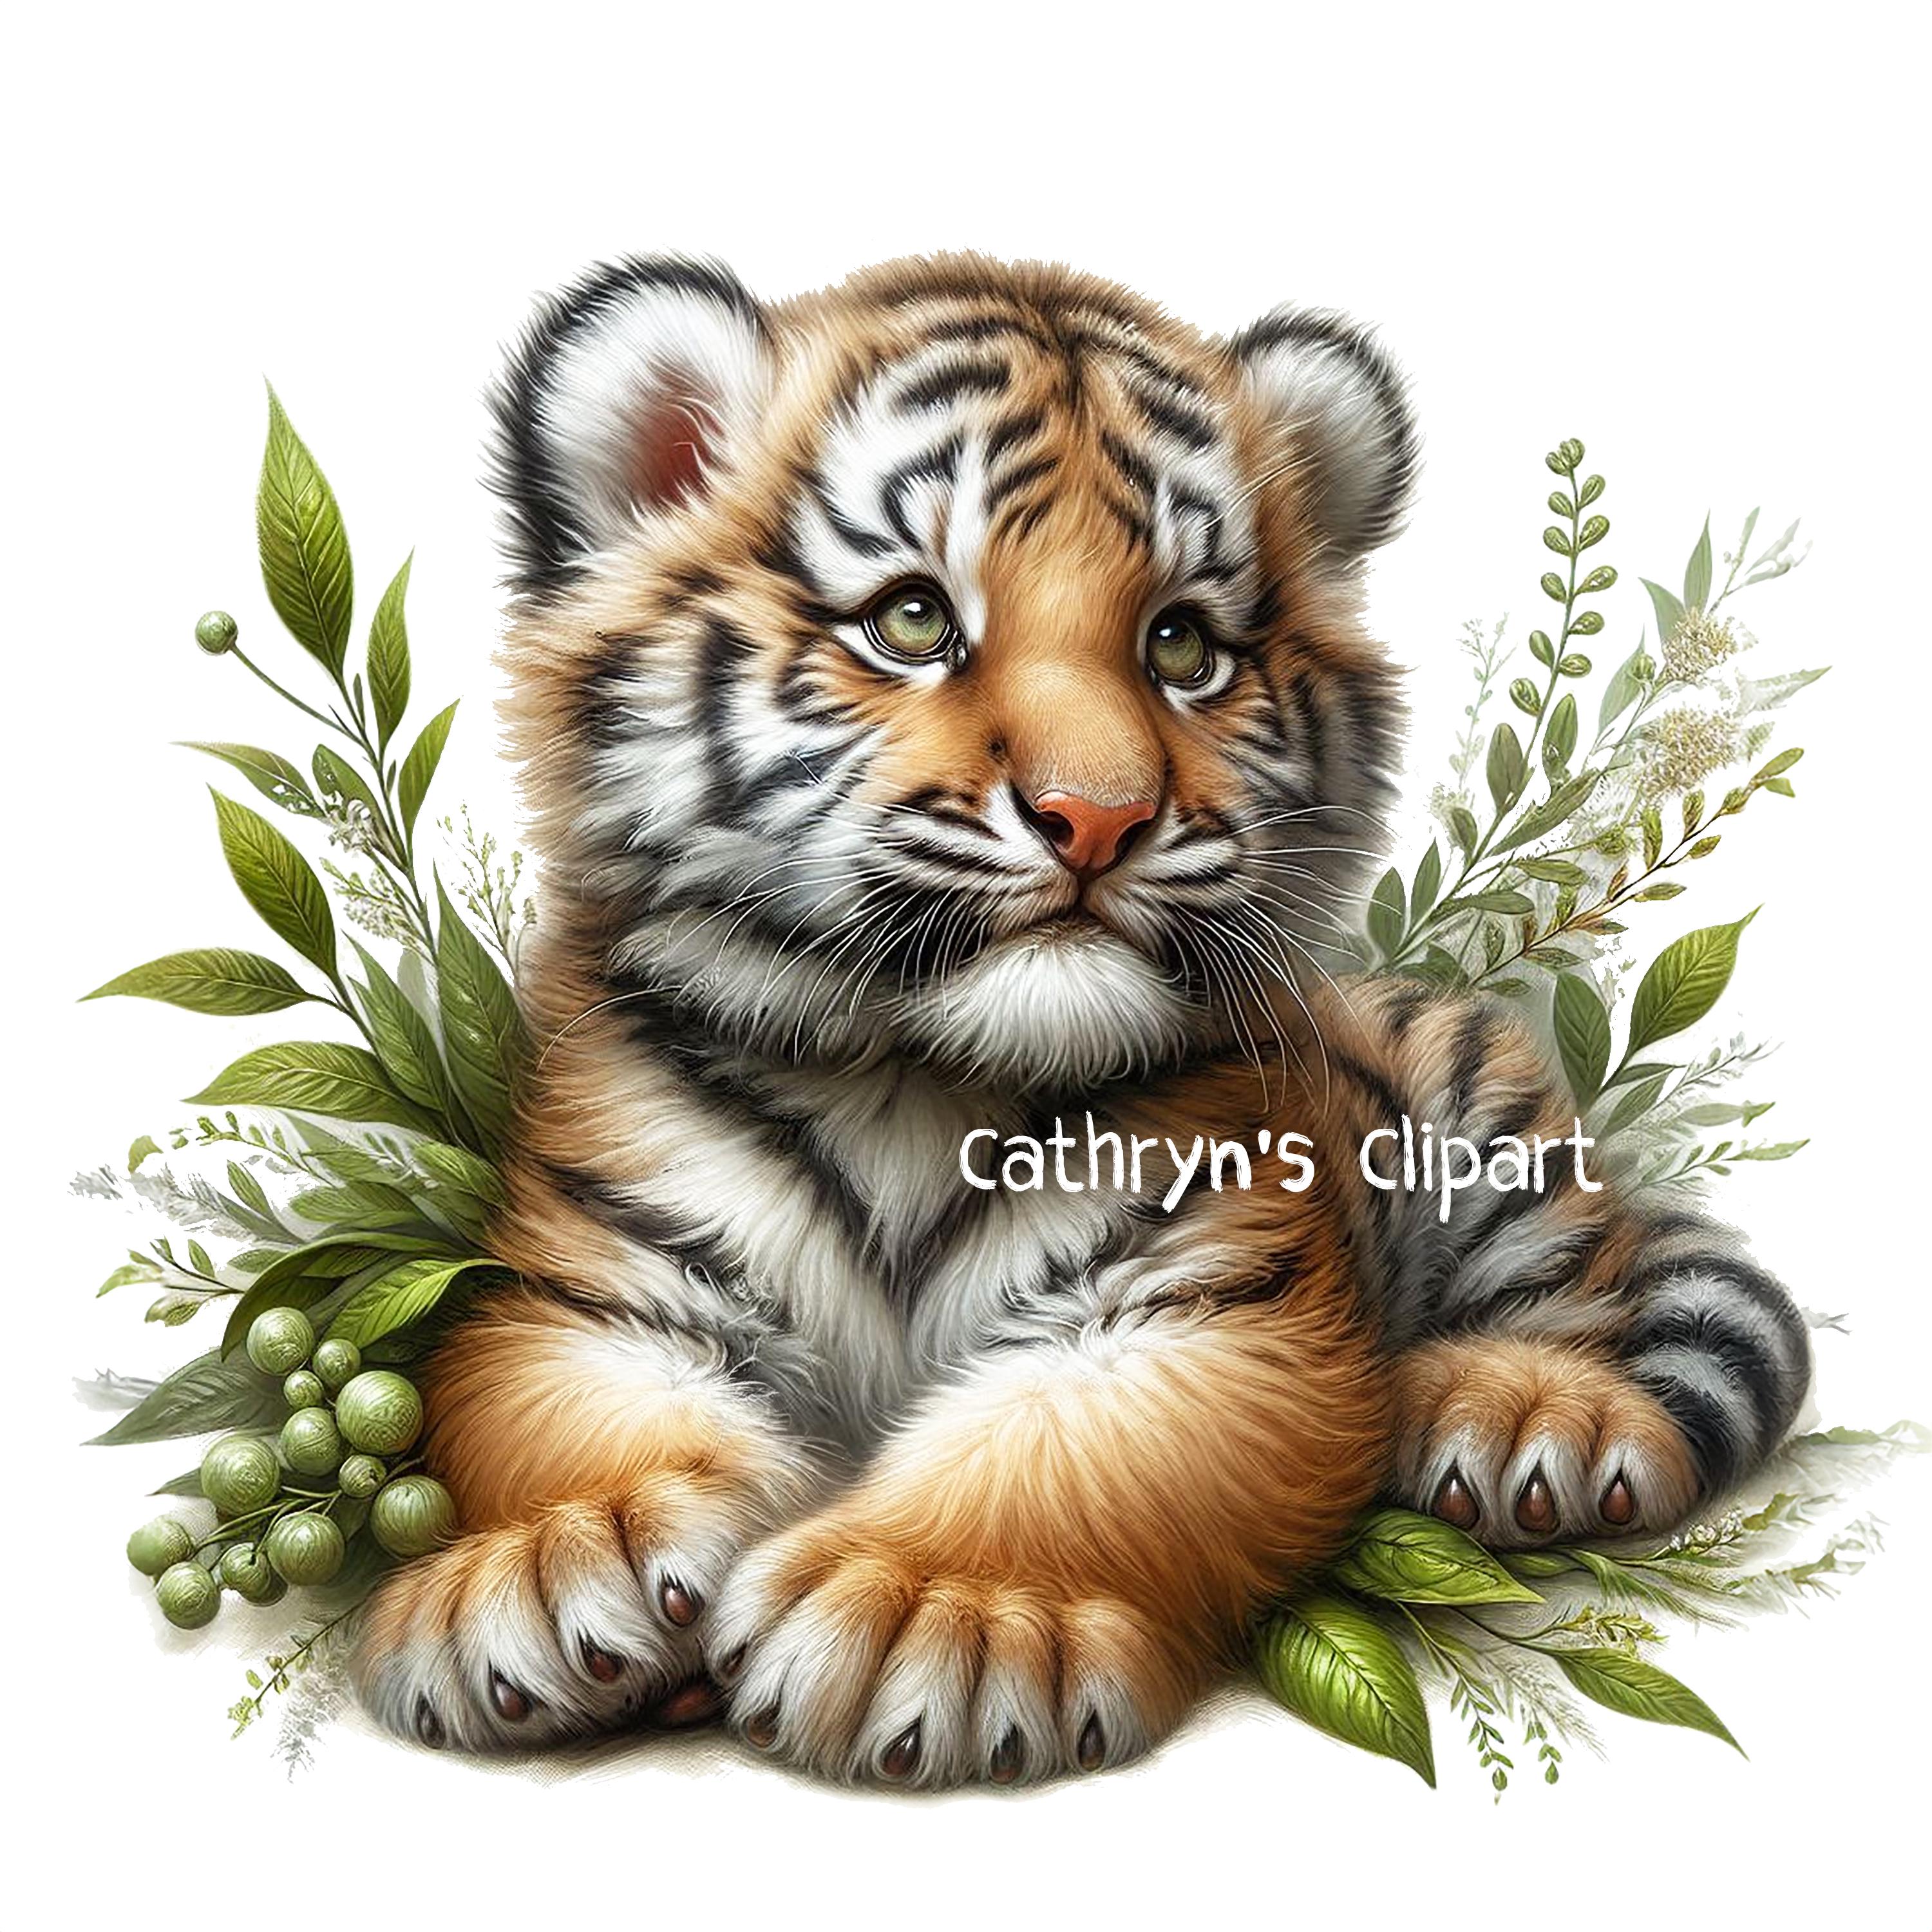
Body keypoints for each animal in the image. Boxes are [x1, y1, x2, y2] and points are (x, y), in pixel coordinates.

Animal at [351, 253, 1812, 1783]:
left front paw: (931, 1616)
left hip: (1499, 1129)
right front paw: (554, 1565)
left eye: (1183, 644)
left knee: (1579, 1300)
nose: (1100, 816)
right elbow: (550, 1414)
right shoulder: (588, 1288)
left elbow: (1080, 1459)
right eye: (914, 620)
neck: (910, 1083)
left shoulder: (1213, 1308)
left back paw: (1524, 1412)